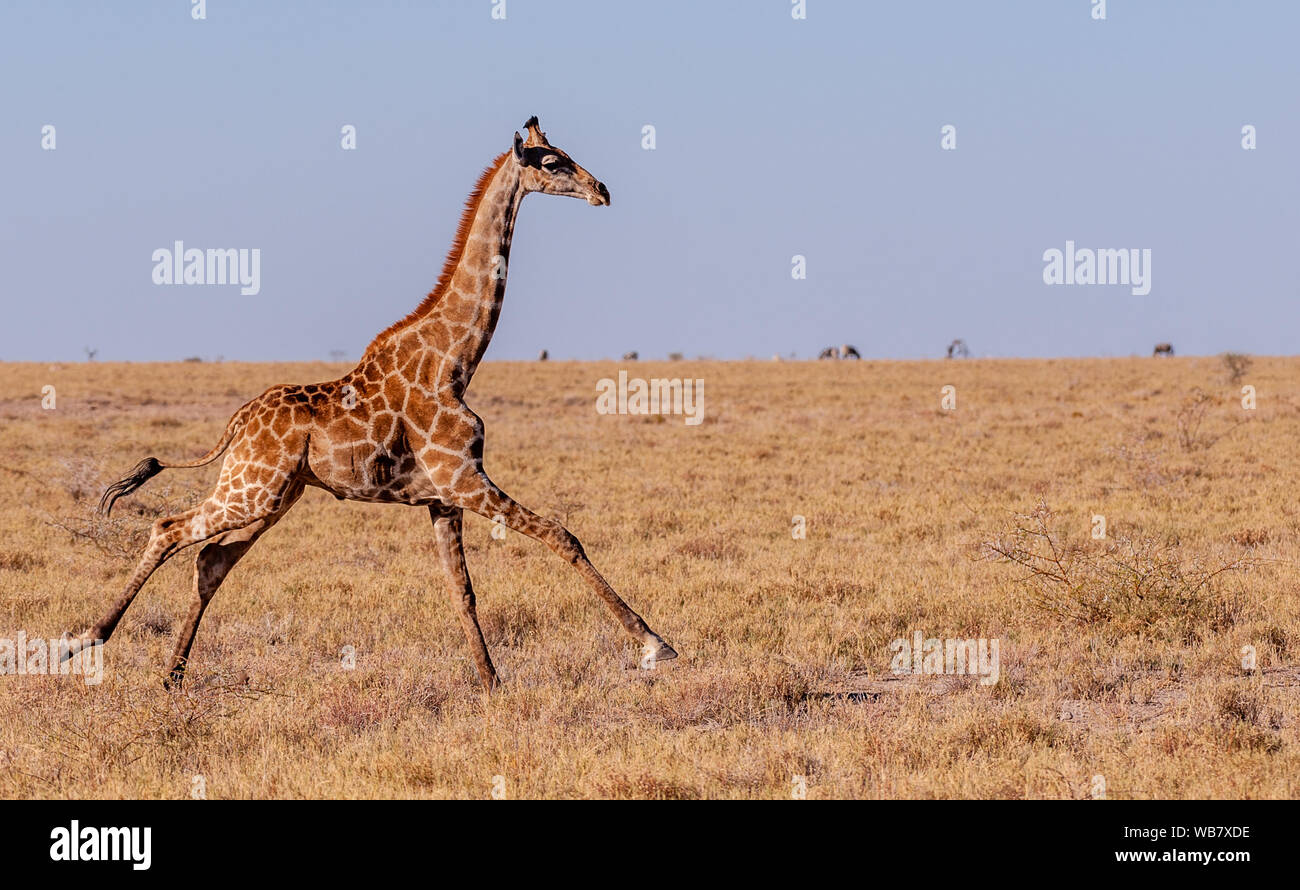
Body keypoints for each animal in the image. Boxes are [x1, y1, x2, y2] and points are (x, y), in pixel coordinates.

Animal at [62, 116, 678, 690]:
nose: (602, 189)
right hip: (252, 487)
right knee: (169, 528)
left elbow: (463, 591)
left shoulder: (444, 498)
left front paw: (491, 685)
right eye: (552, 162)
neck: (454, 363)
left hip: (275, 494)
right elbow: (560, 534)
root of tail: (237, 423)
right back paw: (82, 641)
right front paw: (656, 645)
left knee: (210, 558)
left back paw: (172, 676)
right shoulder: (463, 479)